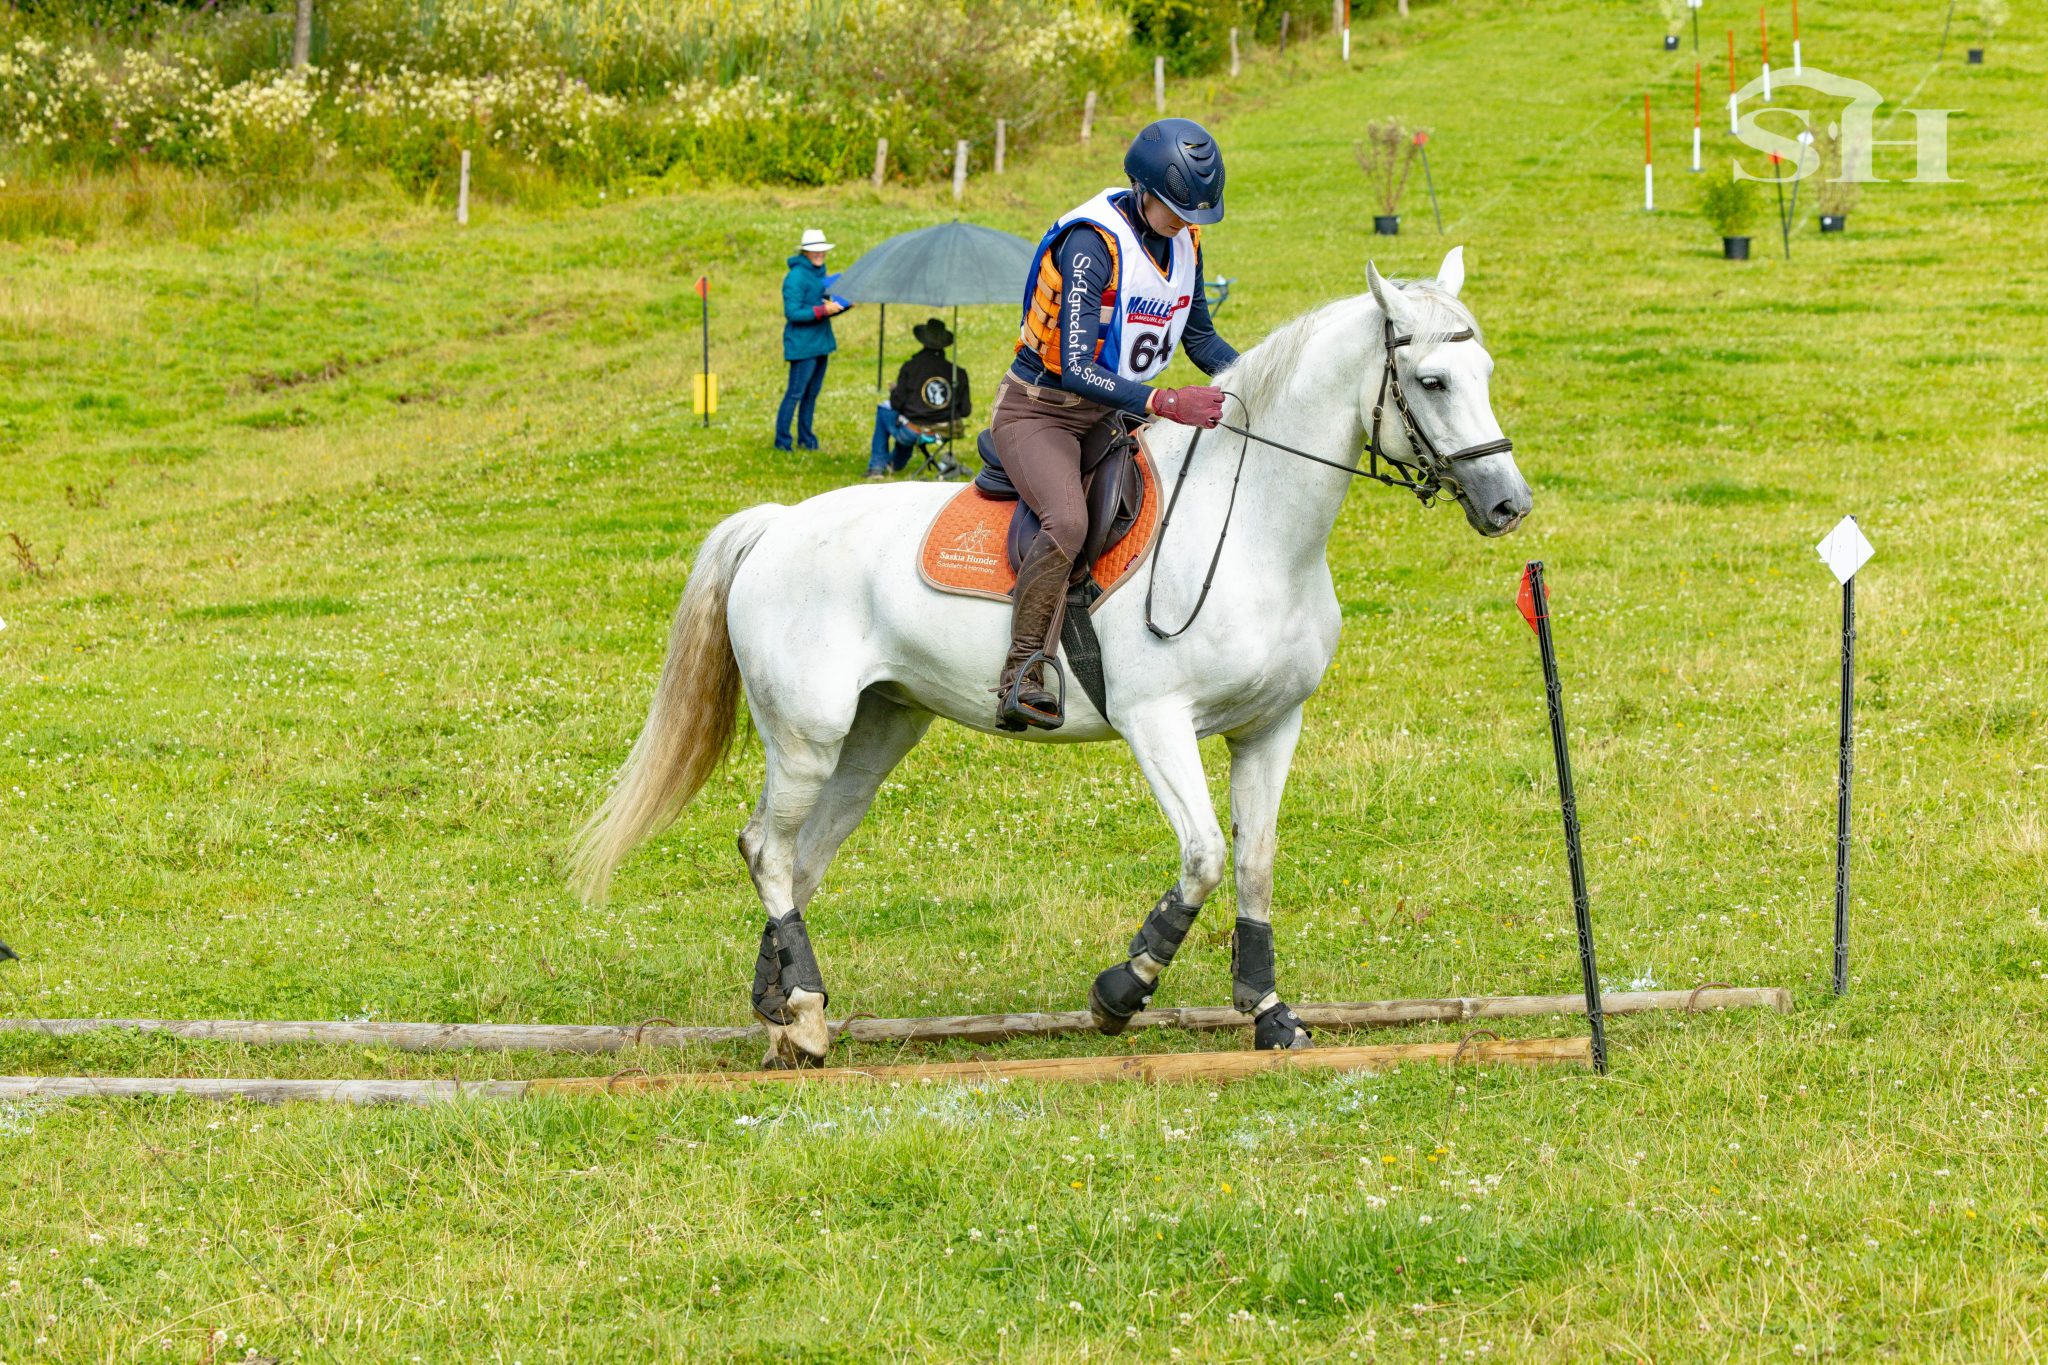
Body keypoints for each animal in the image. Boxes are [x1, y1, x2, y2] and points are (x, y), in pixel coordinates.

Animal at [571, 247, 1531, 1067]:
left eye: (1485, 372)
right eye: (1431, 380)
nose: (1508, 503)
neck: (1252, 523)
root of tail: (772, 526)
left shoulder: (1271, 725)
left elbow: (1253, 864)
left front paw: (1268, 1013)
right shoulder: (1156, 721)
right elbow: (1203, 856)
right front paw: (1120, 992)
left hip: (876, 734)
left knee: (797, 856)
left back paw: (781, 1013)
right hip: (808, 733)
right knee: (767, 849)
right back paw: (803, 1013)